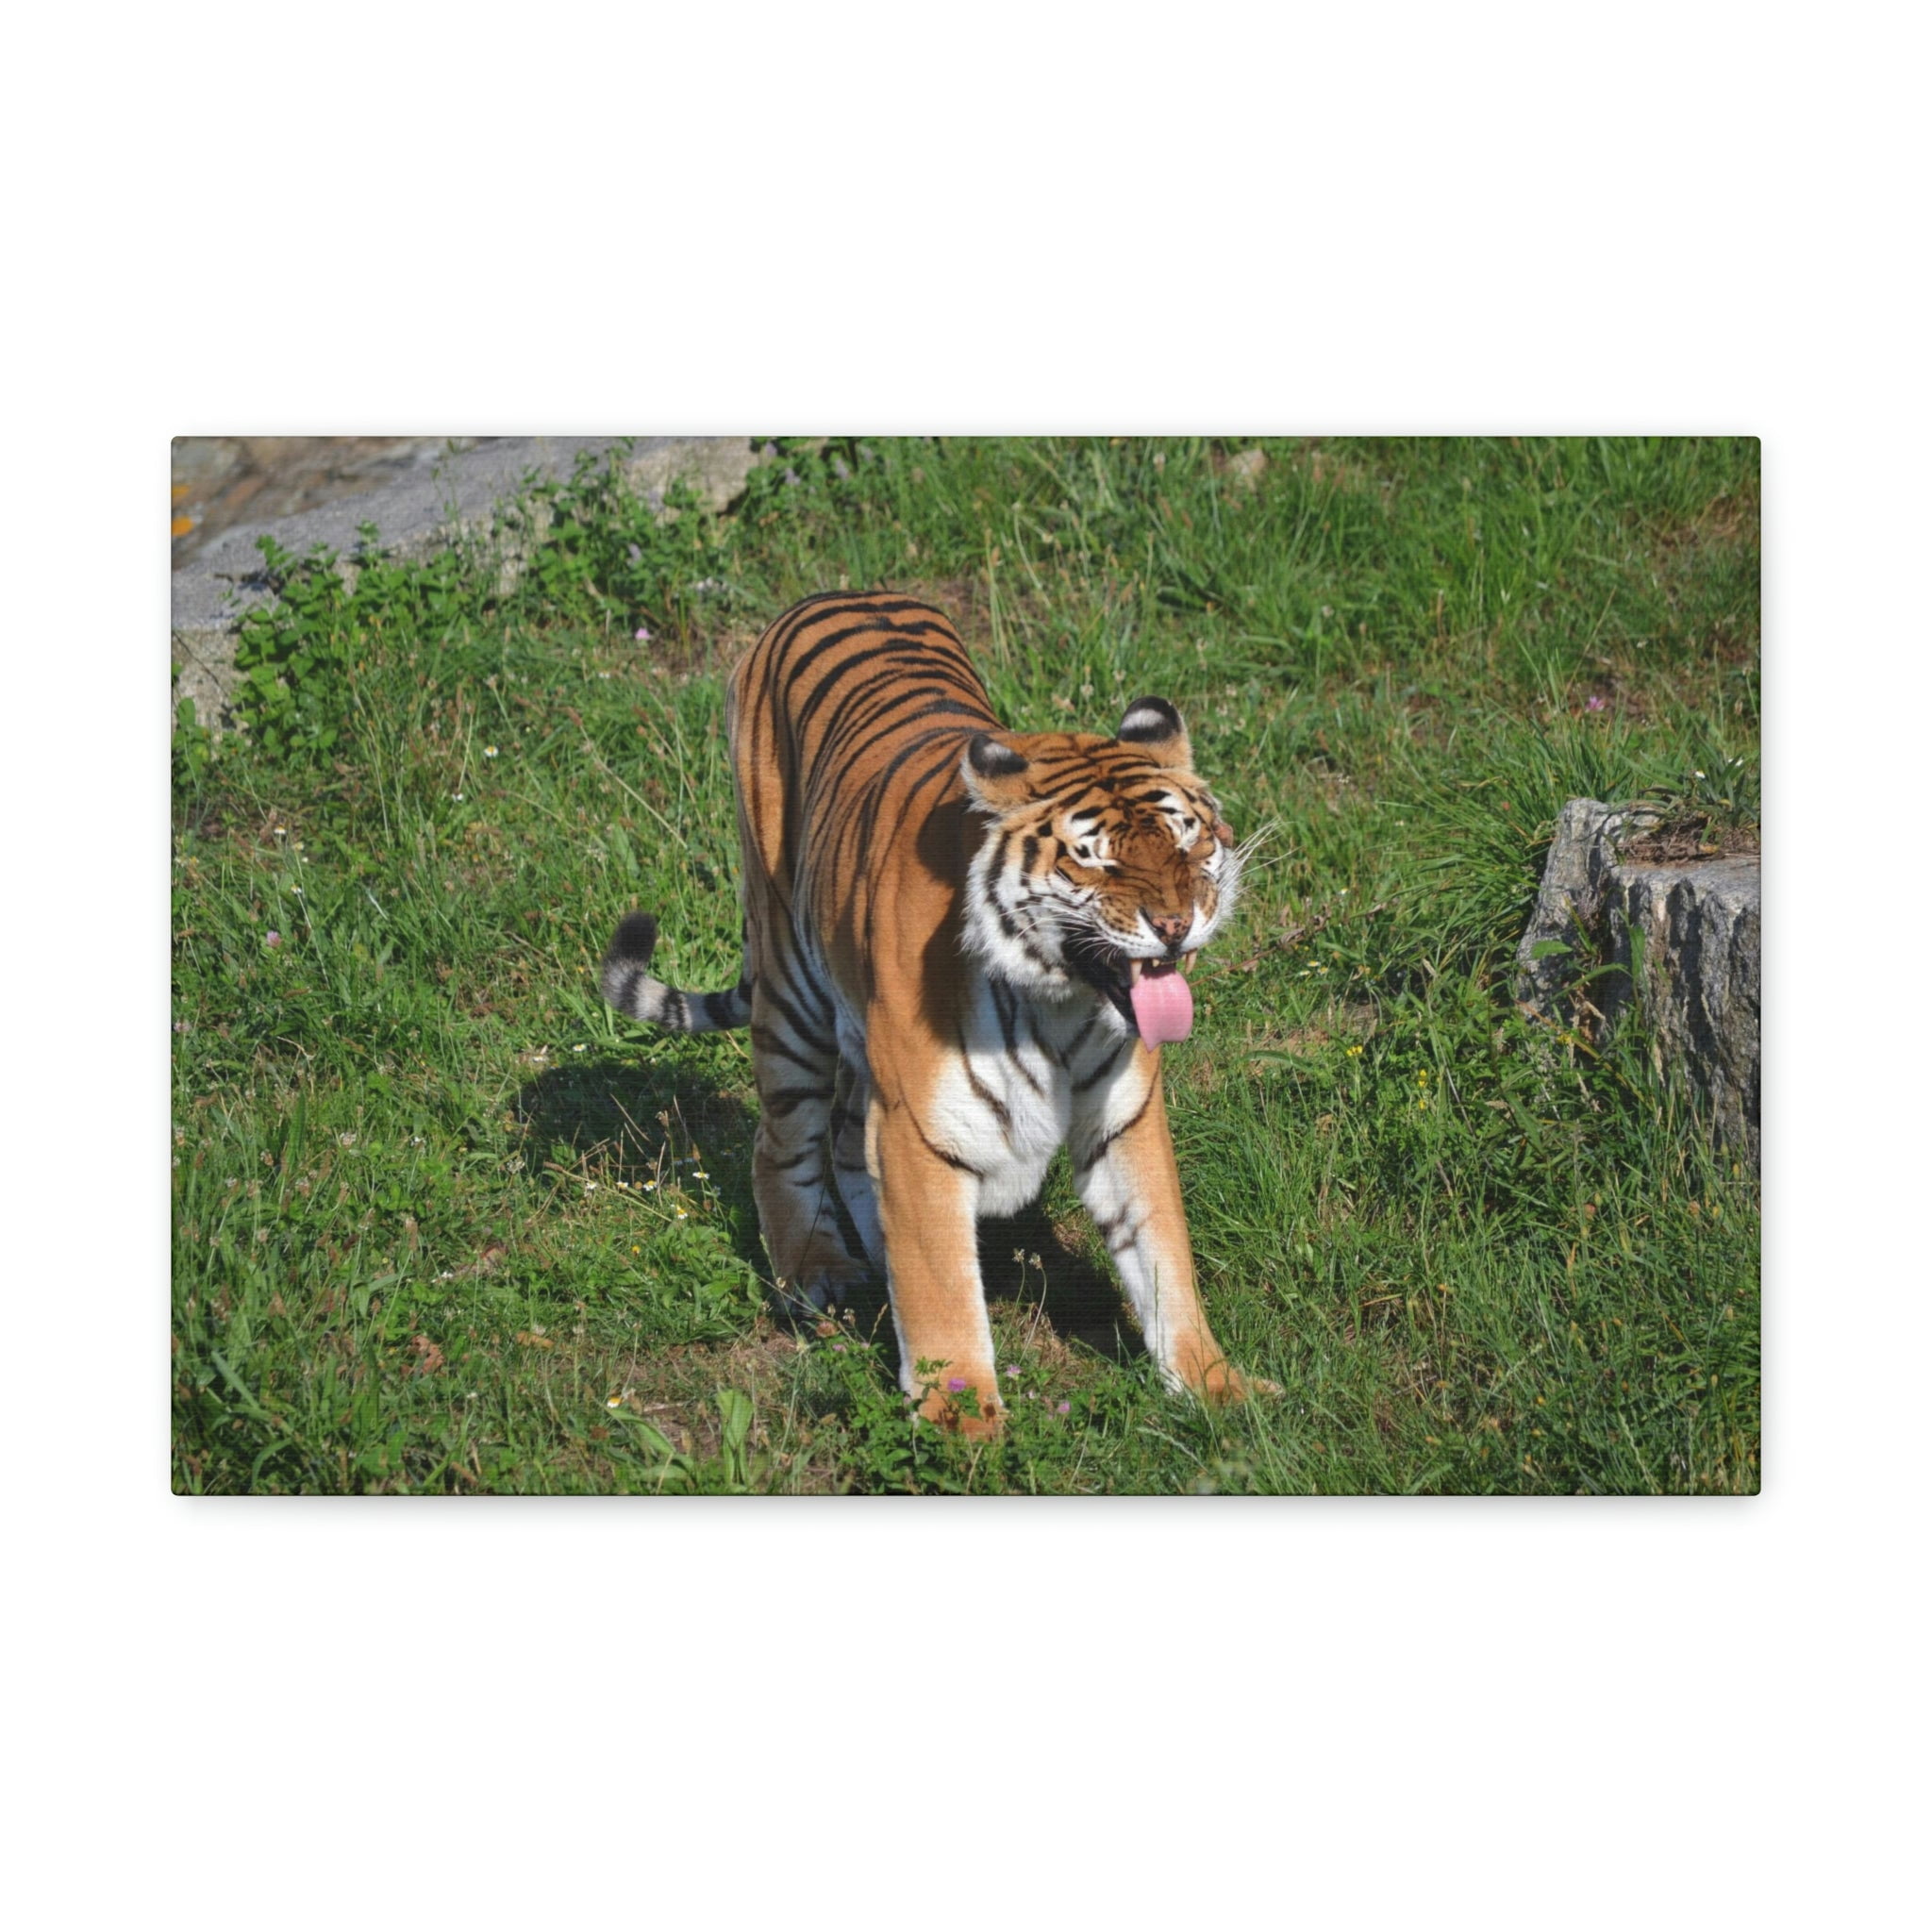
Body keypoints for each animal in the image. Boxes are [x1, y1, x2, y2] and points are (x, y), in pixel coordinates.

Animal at [600, 589, 1263, 1437]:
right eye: (1095, 860)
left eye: (1188, 843)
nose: (1177, 924)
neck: (1059, 1000)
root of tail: (831, 593)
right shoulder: (920, 1127)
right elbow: (943, 1291)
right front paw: (965, 1425)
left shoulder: (1123, 1117)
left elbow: (1163, 1256)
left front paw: (1218, 1391)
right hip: (792, 991)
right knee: (780, 1145)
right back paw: (816, 1274)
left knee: (846, 1144)